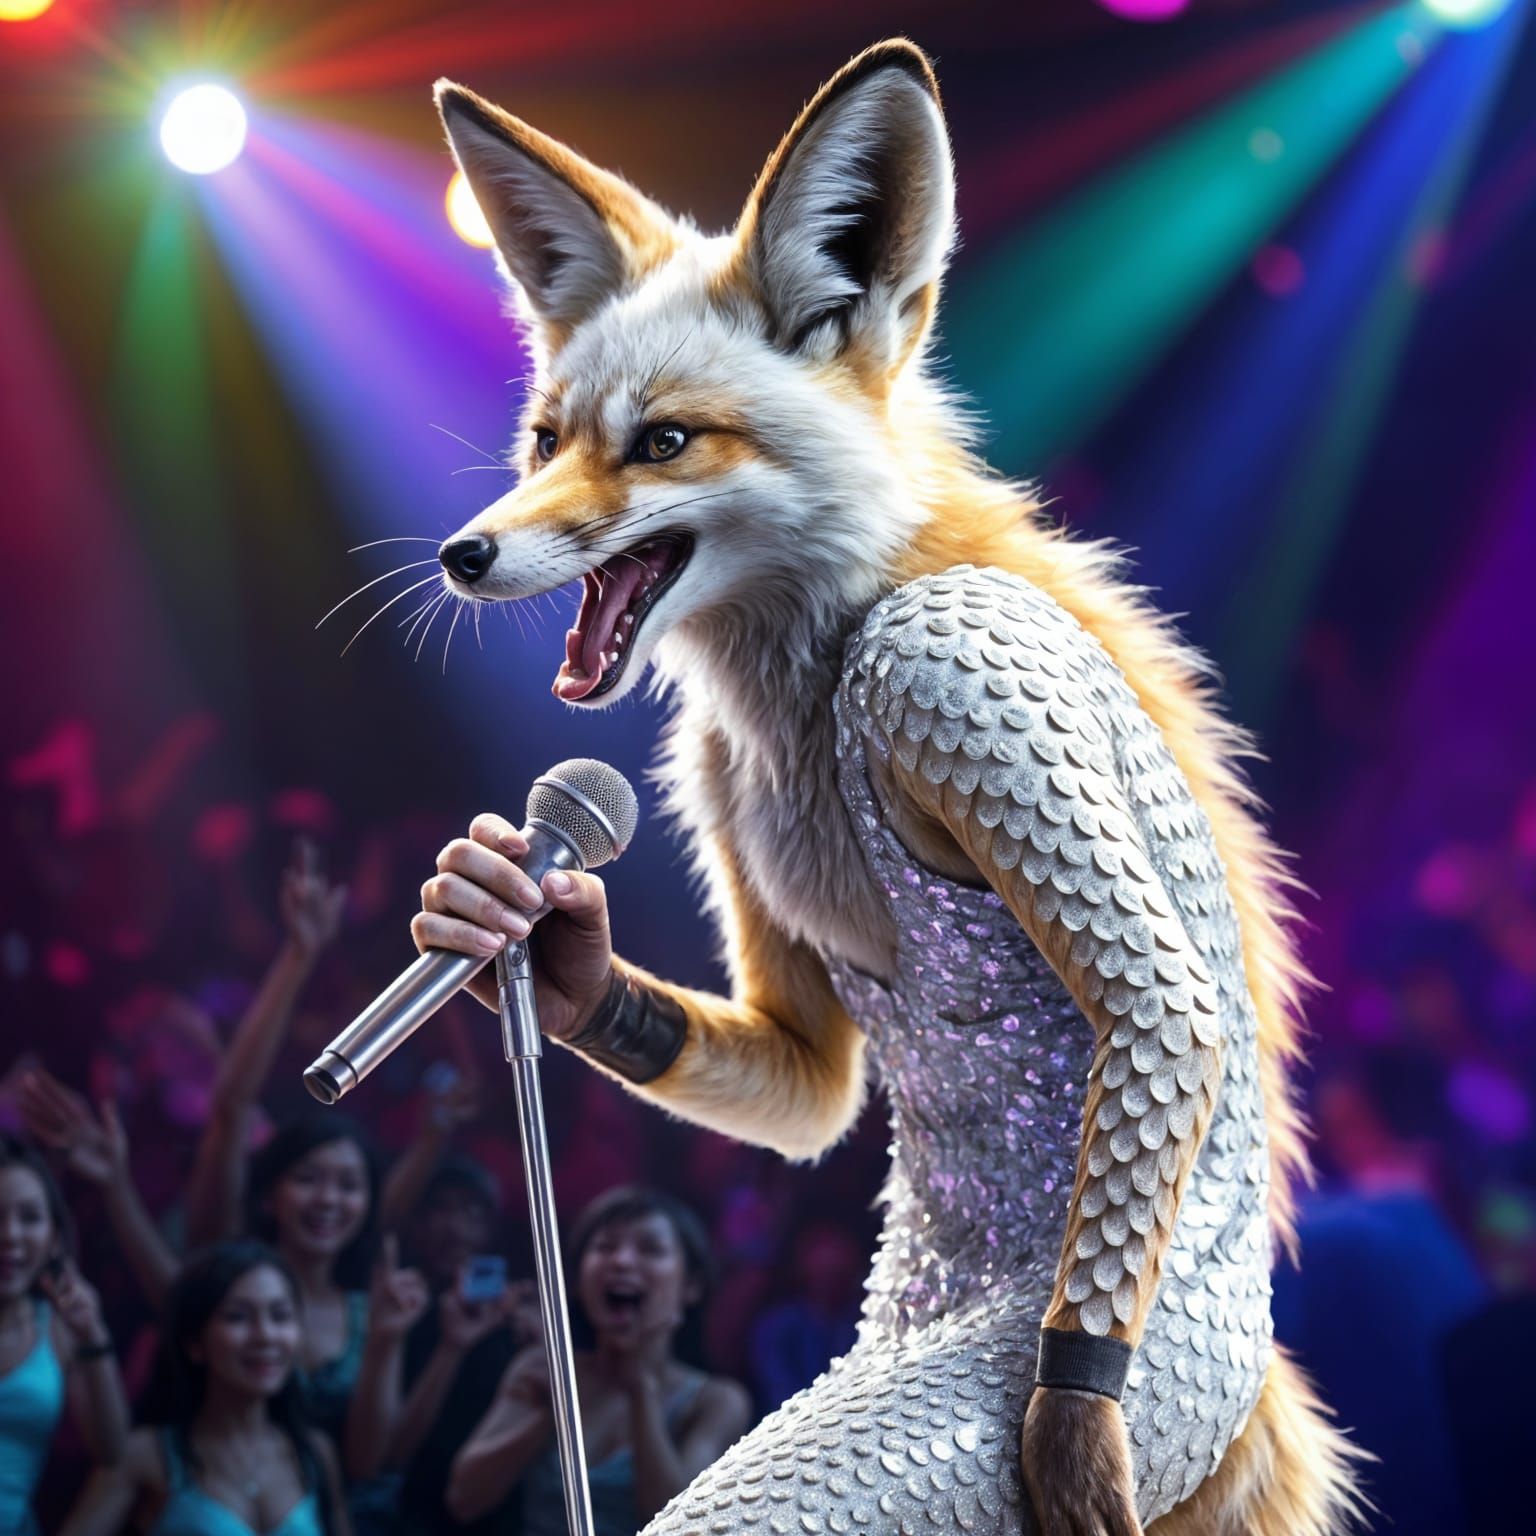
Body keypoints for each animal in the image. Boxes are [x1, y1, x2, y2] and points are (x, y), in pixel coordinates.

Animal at [413, 38, 1363, 1536]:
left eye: (664, 443)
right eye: (545, 441)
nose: (461, 556)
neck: (831, 646)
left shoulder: (952, 667)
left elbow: (1161, 999)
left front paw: (1073, 1436)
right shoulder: (712, 794)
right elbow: (807, 1085)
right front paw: (523, 932)